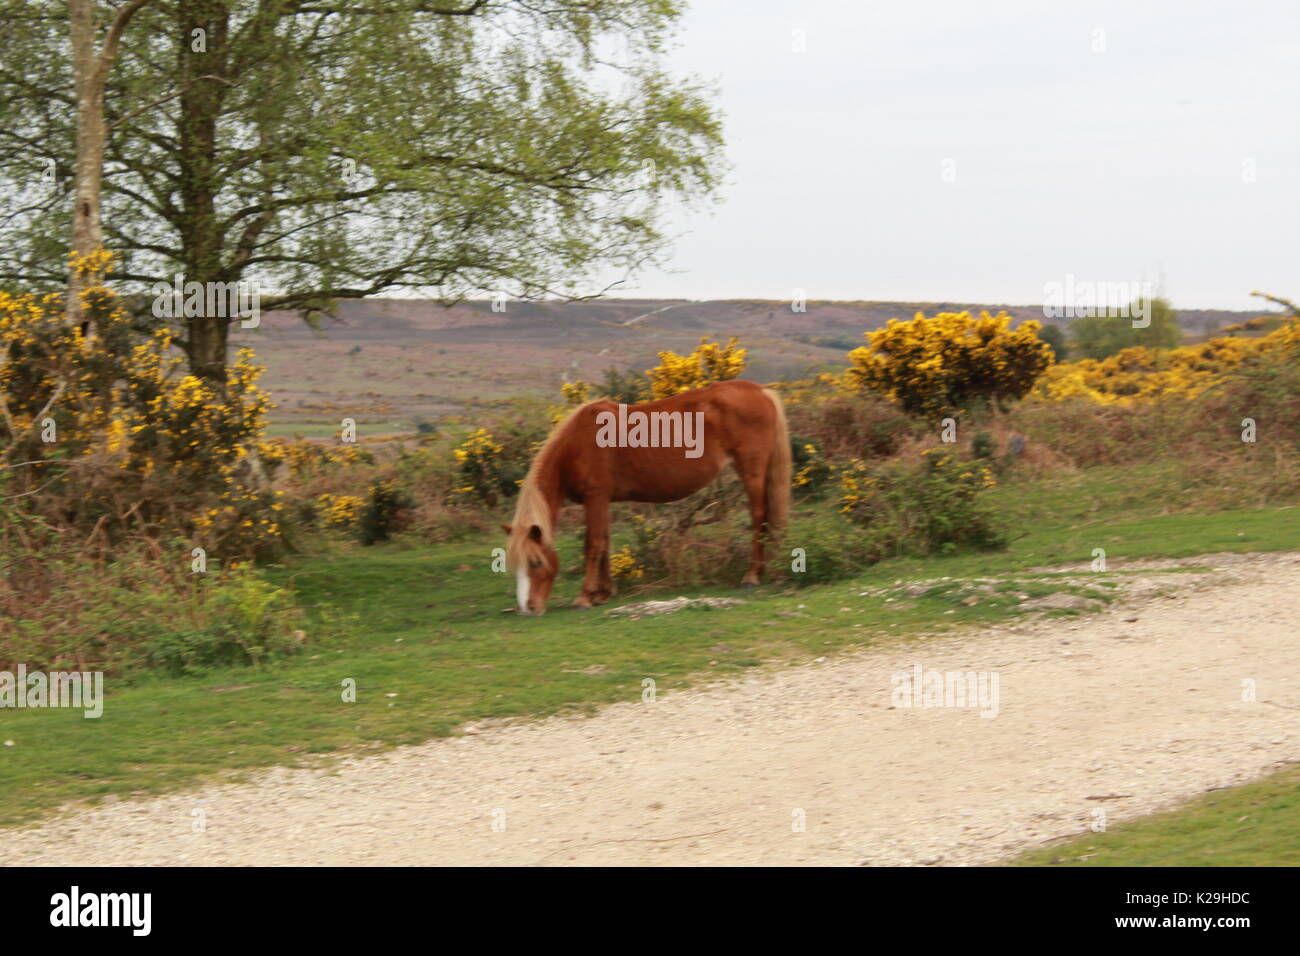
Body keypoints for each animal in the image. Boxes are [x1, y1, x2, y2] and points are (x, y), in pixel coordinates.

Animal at [502, 379, 792, 615]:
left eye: (536, 562)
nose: (528, 609)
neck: (576, 443)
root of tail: (760, 391)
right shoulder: (603, 501)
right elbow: (605, 543)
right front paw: (603, 593)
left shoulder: (595, 497)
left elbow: (593, 545)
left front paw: (585, 598)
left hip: (752, 472)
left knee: (760, 517)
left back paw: (752, 576)